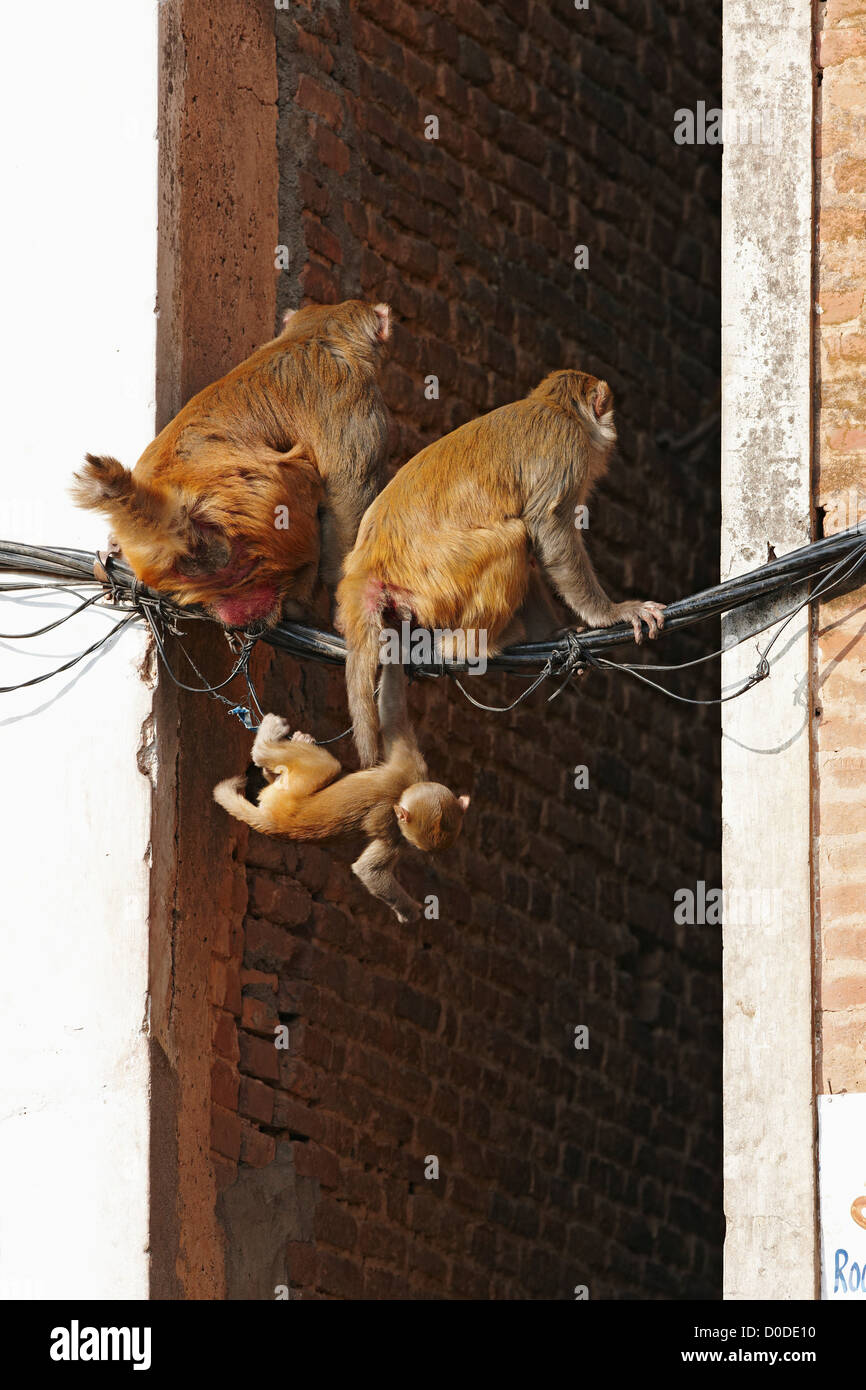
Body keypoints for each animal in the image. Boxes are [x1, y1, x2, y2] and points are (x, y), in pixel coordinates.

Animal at [71, 300, 392, 631]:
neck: (313, 333)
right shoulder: (353, 391)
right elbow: (349, 498)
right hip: (265, 521)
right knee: (303, 477)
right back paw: (298, 606)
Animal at [212, 661, 470, 922]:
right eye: (415, 847)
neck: (404, 790)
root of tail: (275, 823)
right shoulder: (395, 812)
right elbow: (393, 713)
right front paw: (411, 912)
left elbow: (394, 712)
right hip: (290, 795)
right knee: (325, 764)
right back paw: (268, 741)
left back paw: (291, 744)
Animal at [336, 369, 666, 766]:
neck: (556, 407)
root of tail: (367, 565)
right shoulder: (568, 446)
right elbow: (548, 528)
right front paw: (611, 613)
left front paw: (553, 634)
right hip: (442, 576)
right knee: (515, 536)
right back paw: (472, 646)